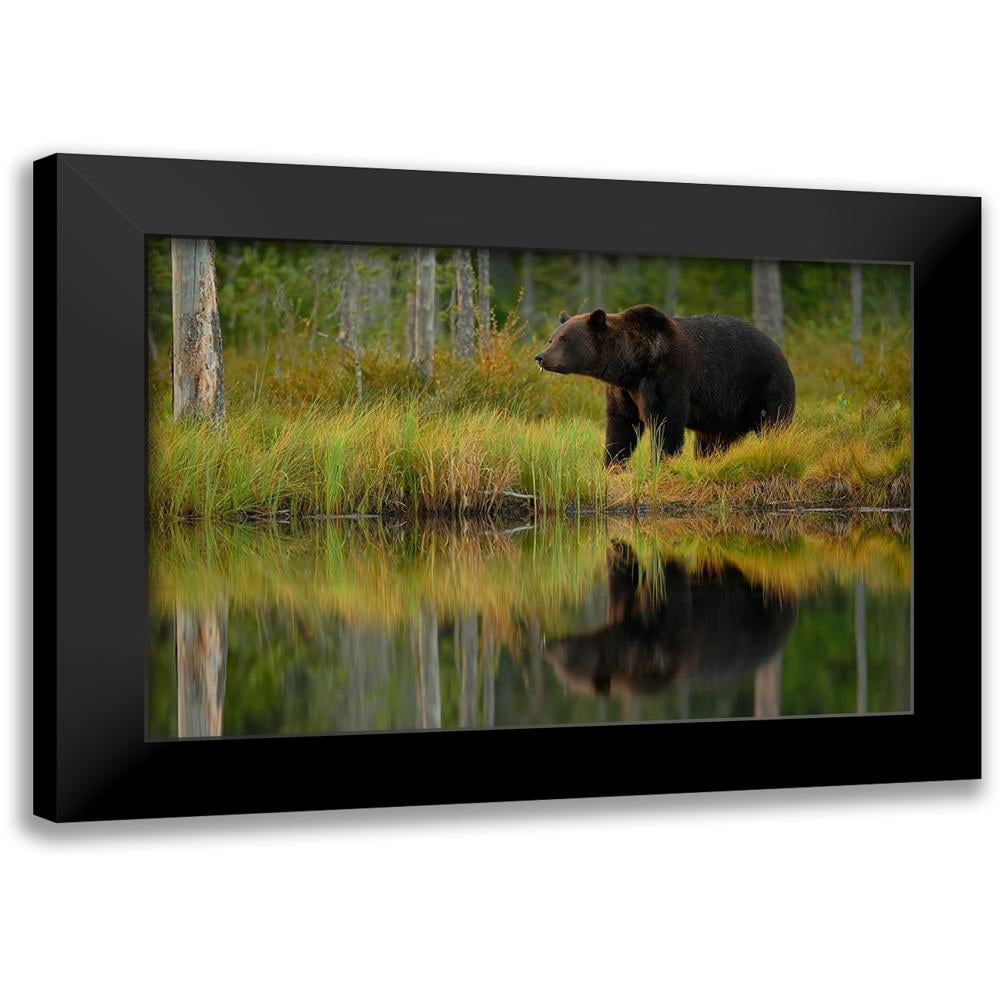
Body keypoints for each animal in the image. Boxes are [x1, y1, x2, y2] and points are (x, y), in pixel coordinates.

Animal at [534, 305, 795, 466]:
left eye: (564, 339)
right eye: (551, 338)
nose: (540, 357)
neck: (631, 365)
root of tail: (781, 351)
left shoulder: (666, 376)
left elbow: (666, 423)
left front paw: (660, 463)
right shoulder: (623, 391)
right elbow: (621, 427)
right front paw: (612, 464)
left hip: (764, 385)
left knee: (774, 425)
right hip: (721, 415)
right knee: (711, 443)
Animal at [544, 540, 797, 697]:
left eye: (562, 662)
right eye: (558, 671)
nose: (548, 646)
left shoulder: (667, 644)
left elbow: (670, 591)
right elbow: (624, 575)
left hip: (764, 607)